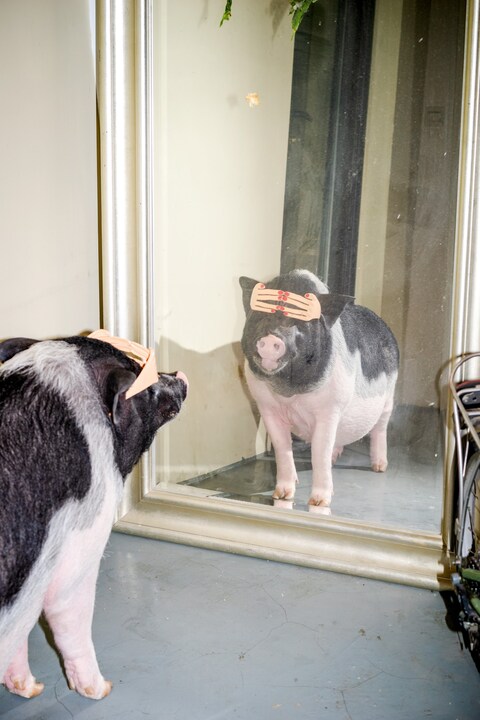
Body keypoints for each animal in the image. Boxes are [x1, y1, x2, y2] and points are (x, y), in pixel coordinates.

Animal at [0, 334, 187, 700]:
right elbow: (69, 610)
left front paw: (29, 689)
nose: (180, 376)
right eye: (145, 382)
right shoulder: (87, 531)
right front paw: (101, 689)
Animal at [239, 269, 399, 512]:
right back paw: (335, 458)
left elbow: (319, 451)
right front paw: (282, 496)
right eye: (261, 315)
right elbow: (282, 447)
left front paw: (318, 502)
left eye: (299, 321)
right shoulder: (266, 406)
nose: (270, 338)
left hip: (389, 395)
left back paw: (379, 467)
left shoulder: (330, 408)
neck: (291, 392)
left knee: (380, 428)